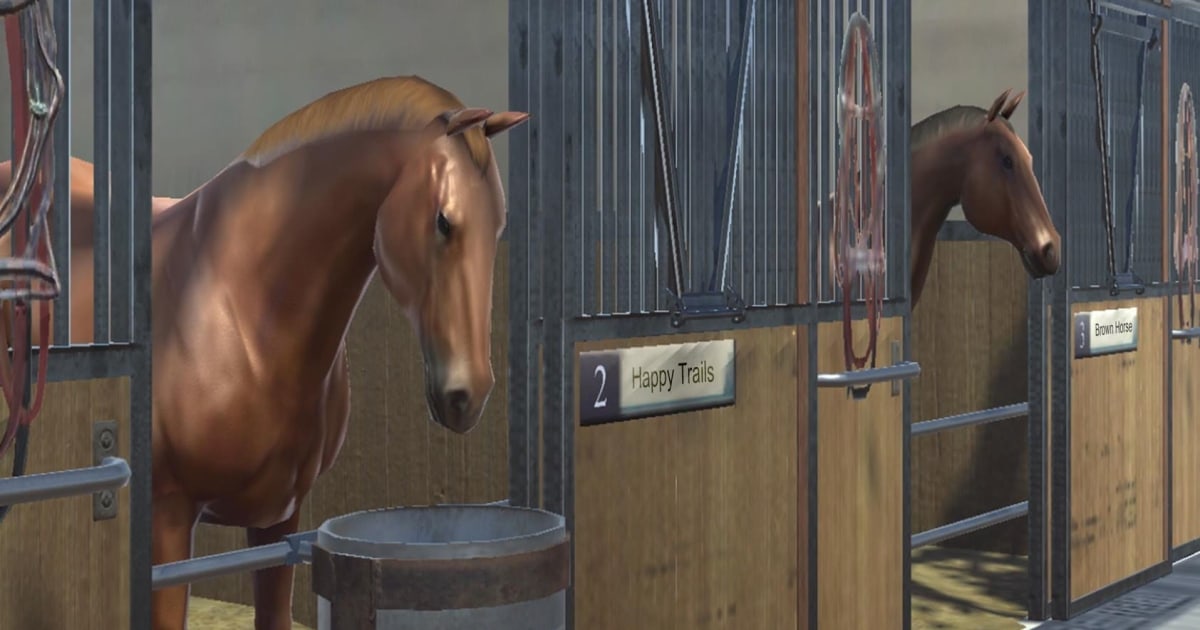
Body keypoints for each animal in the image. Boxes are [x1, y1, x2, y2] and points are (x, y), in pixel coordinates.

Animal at [2, 75, 528, 630]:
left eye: (499, 224)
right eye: (444, 222)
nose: (470, 394)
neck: (243, 311)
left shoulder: (280, 520)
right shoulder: (166, 519)